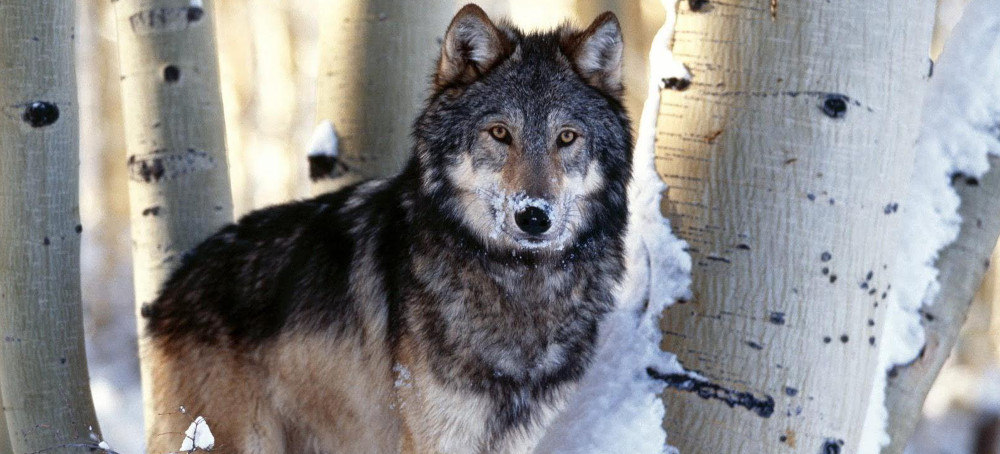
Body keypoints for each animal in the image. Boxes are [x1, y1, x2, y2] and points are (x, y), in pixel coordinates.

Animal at [144, 4, 632, 453]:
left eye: (566, 137)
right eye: (499, 133)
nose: (534, 216)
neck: (519, 283)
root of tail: (169, 291)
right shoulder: (435, 439)